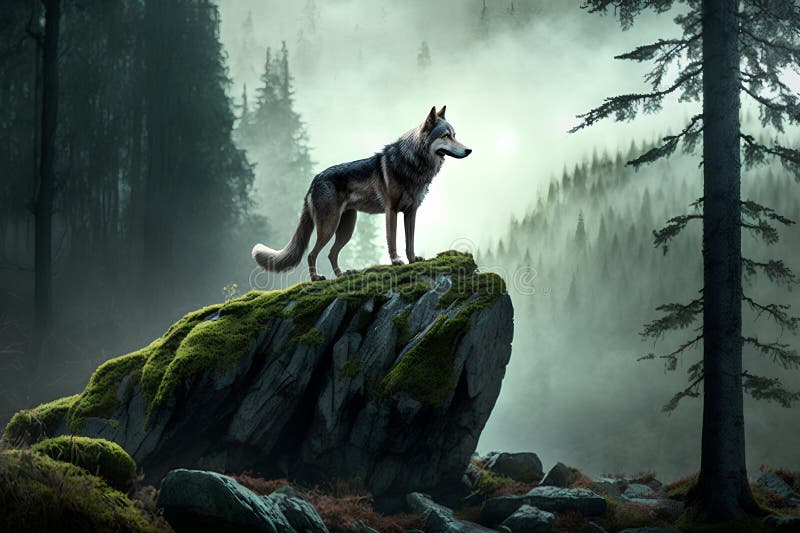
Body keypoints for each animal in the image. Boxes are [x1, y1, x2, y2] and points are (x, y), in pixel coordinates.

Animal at [252, 106, 471, 281]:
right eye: (446, 136)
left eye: (455, 135)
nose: (469, 150)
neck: (414, 163)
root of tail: (314, 180)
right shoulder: (391, 211)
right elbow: (393, 240)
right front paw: (396, 261)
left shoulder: (411, 212)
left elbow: (410, 242)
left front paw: (413, 260)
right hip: (329, 227)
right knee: (312, 254)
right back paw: (316, 278)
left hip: (346, 229)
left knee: (331, 254)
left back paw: (341, 275)